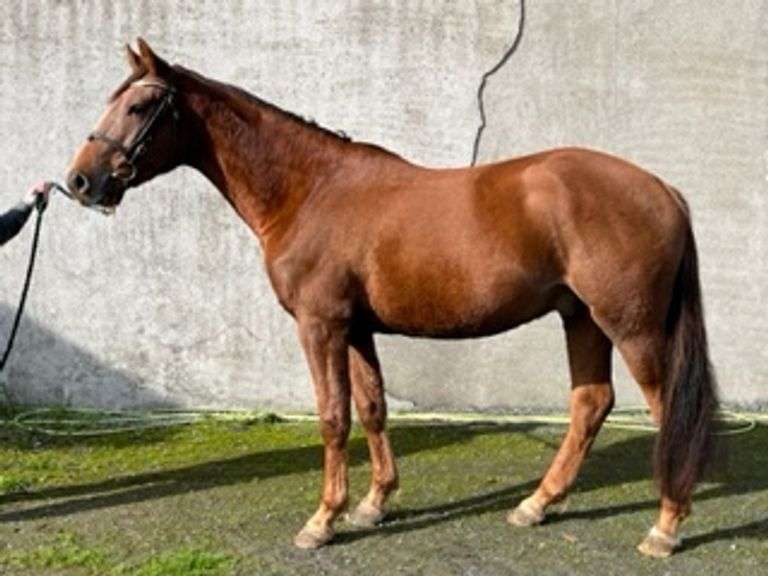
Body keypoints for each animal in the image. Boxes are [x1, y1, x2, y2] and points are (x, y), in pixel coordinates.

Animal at [64, 39, 717, 558]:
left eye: (139, 105)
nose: (79, 181)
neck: (310, 190)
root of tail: (663, 189)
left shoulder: (320, 325)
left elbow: (333, 417)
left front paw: (322, 520)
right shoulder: (355, 329)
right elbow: (373, 408)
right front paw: (374, 505)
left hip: (630, 327)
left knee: (667, 413)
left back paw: (665, 528)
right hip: (581, 317)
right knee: (591, 403)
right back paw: (537, 504)